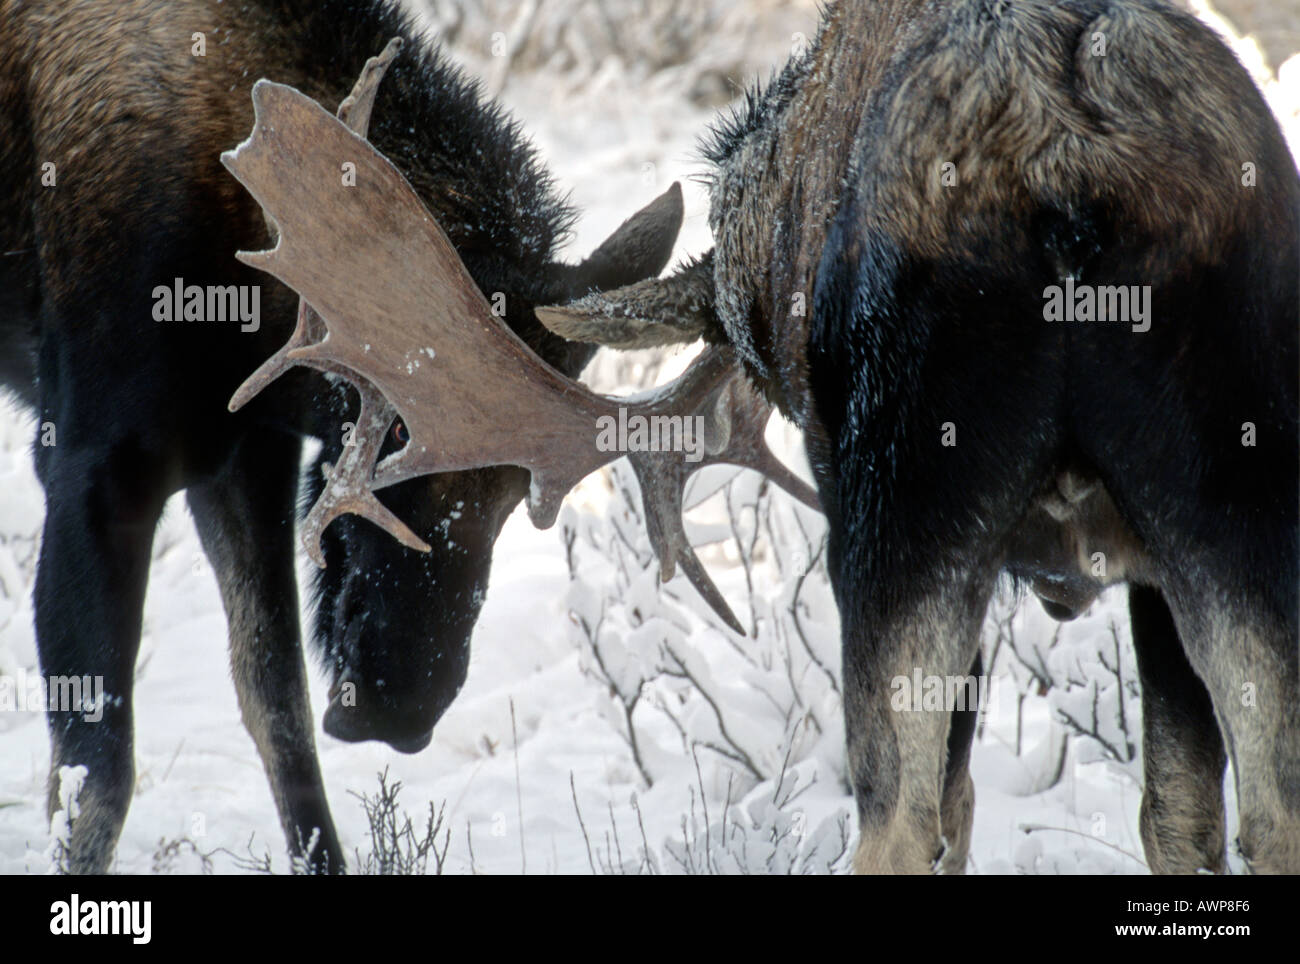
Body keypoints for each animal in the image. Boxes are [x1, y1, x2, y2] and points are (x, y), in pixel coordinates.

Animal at [0, 0, 691, 874]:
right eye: (385, 423)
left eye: (516, 491)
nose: (401, 706)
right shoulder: (91, 463)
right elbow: (95, 783)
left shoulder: (248, 454)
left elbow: (278, 709)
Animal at [235, 0, 1299, 874]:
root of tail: (1070, 174)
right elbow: (1178, 814)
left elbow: (959, 805)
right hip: (1231, 510)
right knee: (1272, 811)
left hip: (900, 524)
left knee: (902, 822)